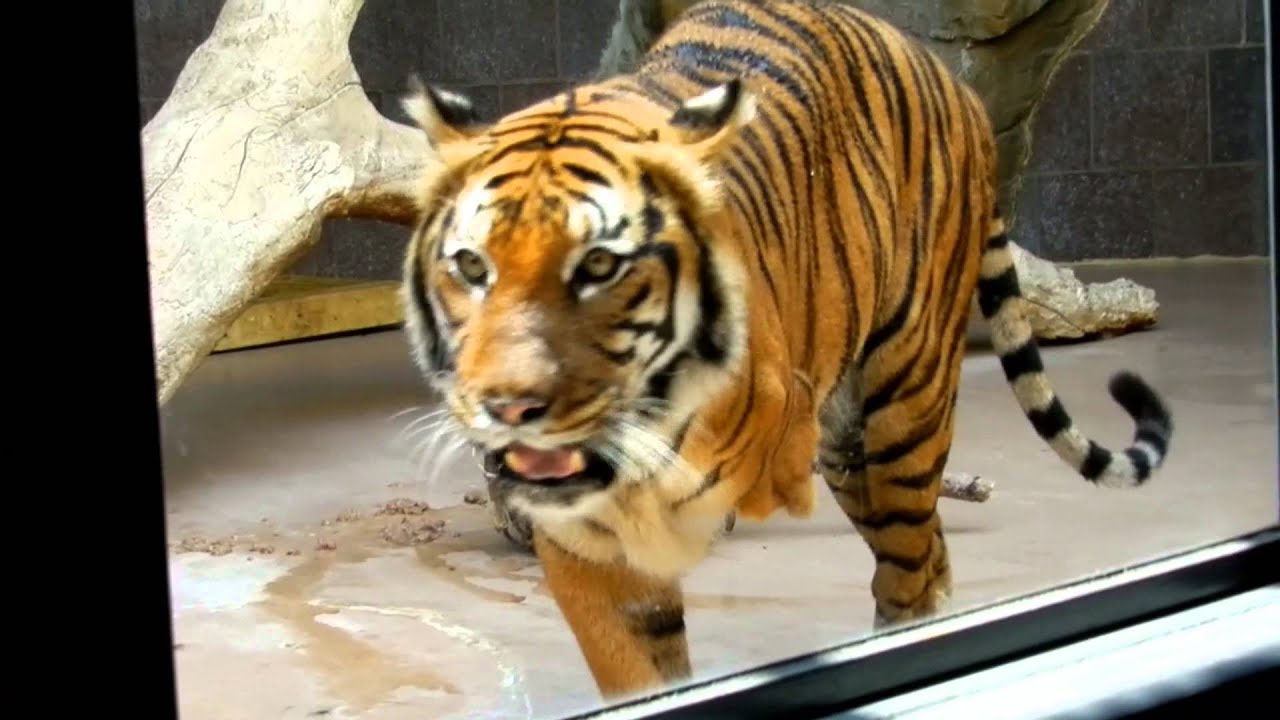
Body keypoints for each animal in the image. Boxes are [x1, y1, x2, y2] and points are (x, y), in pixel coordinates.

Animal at [396, 0, 1175, 700]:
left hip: (904, 404)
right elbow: (638, 666)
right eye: (472, 267)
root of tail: (952, 80)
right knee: (928, 553)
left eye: (598, 266)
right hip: (850, 445)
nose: (508, 409)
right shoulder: (592, 548)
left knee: (909, 564)